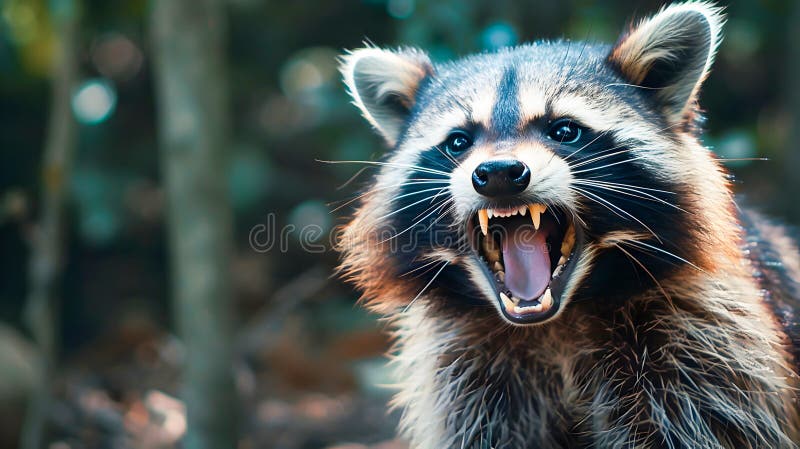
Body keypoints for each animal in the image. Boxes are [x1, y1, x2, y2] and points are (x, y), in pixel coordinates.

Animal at [336, 2, 800, 448]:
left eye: (564, 131)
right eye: (458, 142)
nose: (499, 174)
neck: (556, 322)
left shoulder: (705, 342)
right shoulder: (465, 375)